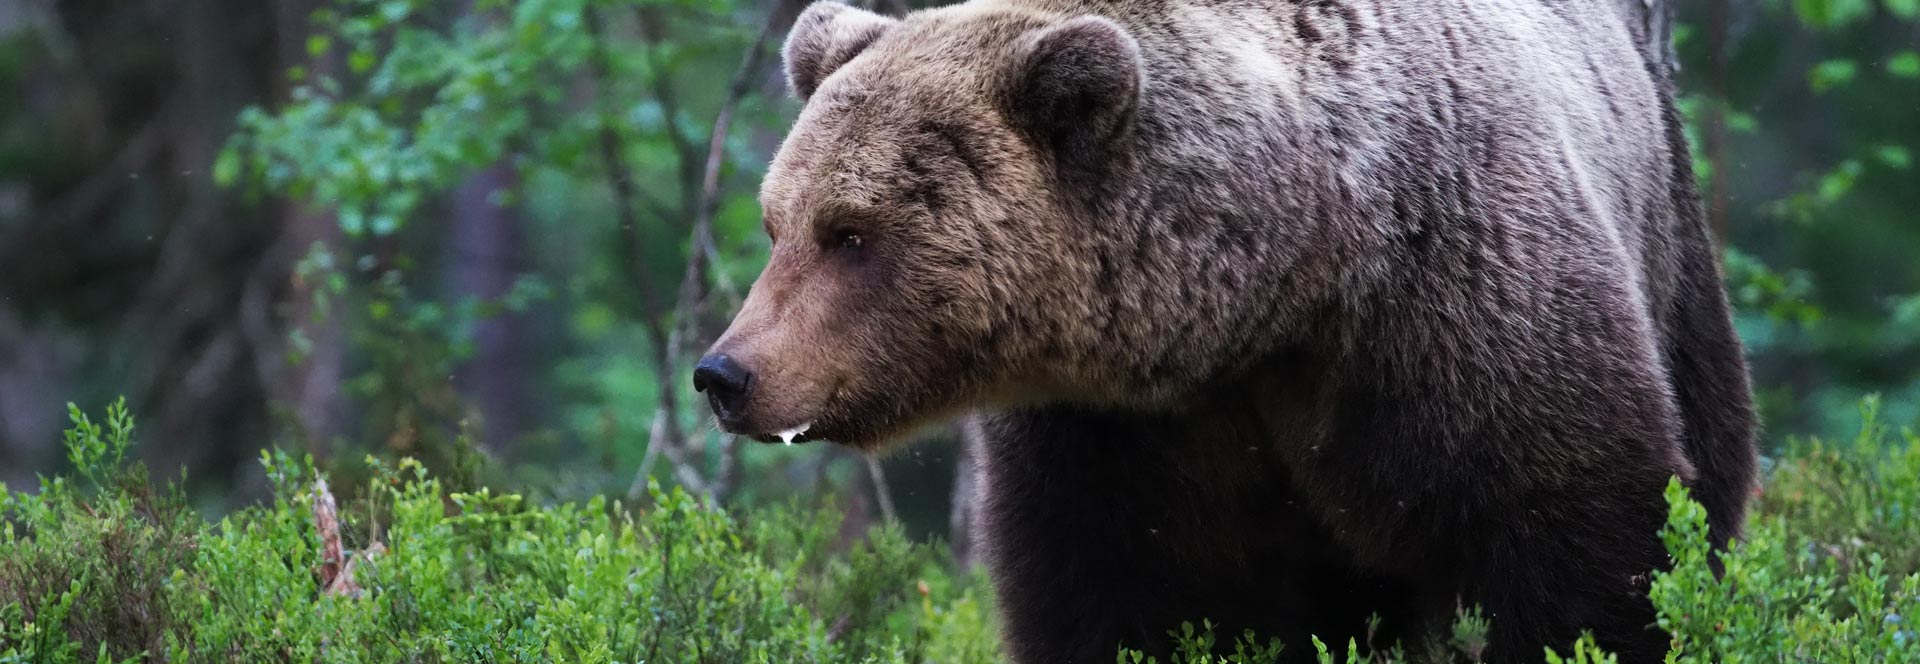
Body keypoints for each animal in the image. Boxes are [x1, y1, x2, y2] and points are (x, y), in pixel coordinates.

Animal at [692, 0, 1757, 661]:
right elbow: (1109, 596)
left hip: (1673, 257)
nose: (725, 374)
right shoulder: (1116, 435)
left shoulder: (1452, 306)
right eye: (779, 224)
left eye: (852, 232)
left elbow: (1579, 535)